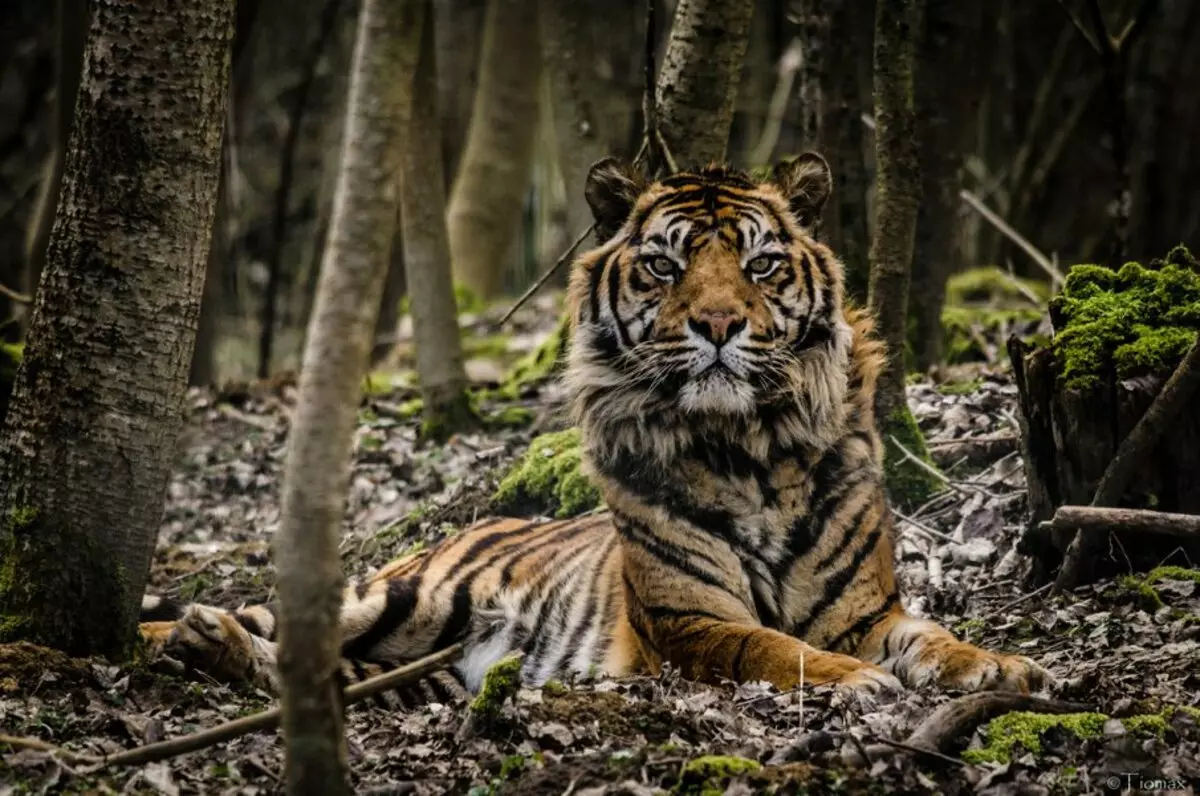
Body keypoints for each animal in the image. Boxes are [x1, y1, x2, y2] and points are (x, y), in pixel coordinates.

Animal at [136, 152, 1046, 701]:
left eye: (761, 265)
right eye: (665, 265)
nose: (720, 324)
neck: (751, 449)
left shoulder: (869, 613)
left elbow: (935, 637)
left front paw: (1005, 668)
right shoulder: (688, 622)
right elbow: (772, 647)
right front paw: (857, 682)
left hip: (427, 671)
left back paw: (211, 645)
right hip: (401, 597)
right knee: (275, 623)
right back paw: (192, 631)